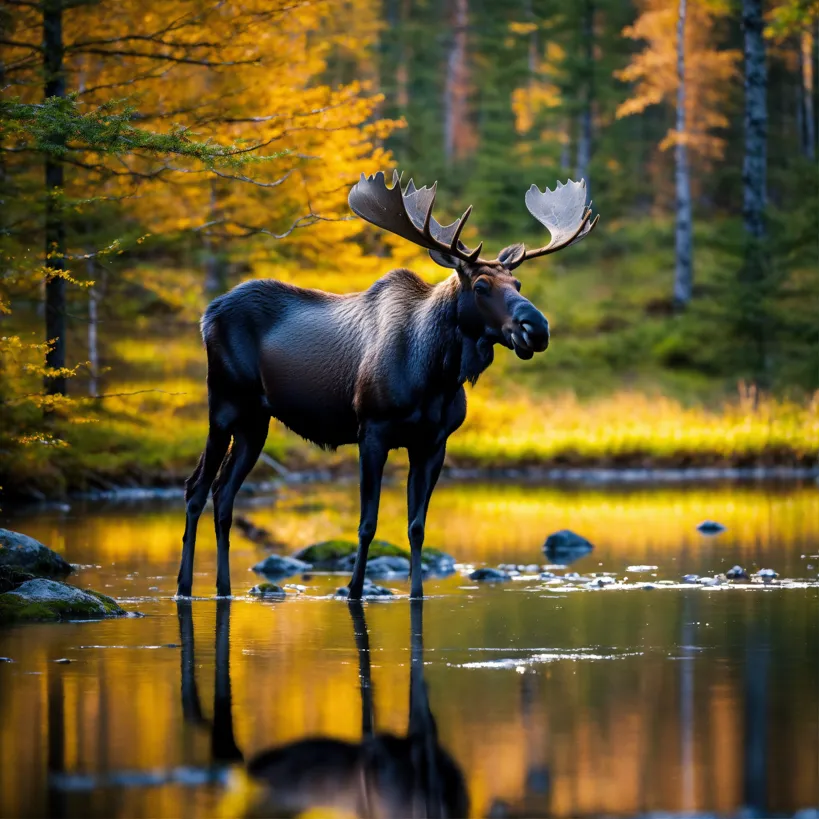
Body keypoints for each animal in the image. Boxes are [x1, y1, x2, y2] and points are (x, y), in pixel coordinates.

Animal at [176, 171, 599, 600]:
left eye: (518, 282)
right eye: (480, 286)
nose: (537, 328)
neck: (437, 374)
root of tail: (207, 315)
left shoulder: (432, 442)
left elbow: (417, 526)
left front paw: (416, 594)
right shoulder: (372, 431)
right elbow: (368, 524)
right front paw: (353, 590)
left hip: (256, 422)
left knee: (224, 494)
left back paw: (223, 587)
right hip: (223, 406)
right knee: (196, 488)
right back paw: (185, 585)